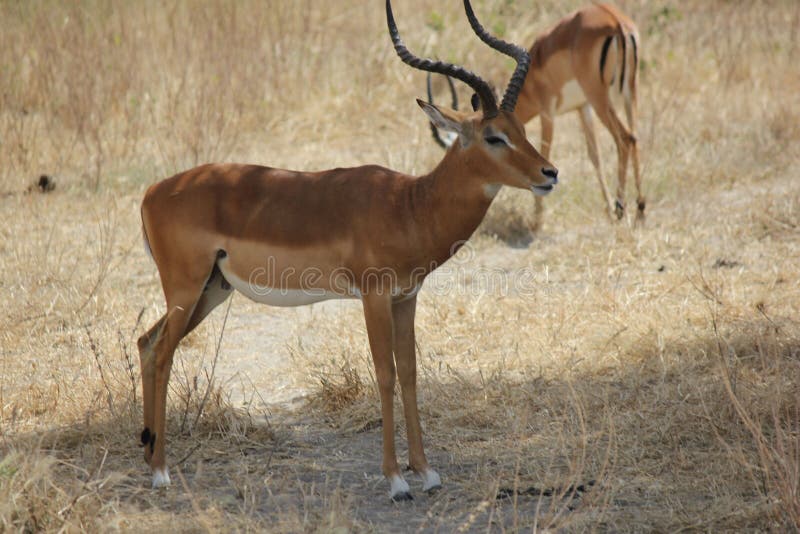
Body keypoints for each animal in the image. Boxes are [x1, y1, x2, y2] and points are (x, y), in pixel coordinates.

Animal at [136, 0, 557, 501]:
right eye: (494, 136)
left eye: (520, 128)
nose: (549, 173)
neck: (408, 204)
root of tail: (152, 192)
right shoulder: (374, 297)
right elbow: (385, 374)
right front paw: (396, 480)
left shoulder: (406, 298)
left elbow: (410, 373)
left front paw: (426, 471)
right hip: (186, 287)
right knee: (163, 353)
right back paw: (161, 472)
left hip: (212, 290)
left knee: (145, 342)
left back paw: (147, 453)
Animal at [428, 2, 643, 230]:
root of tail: (616, 21)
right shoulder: (582, 108)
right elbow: (595, 156)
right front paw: (607, 211)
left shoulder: (548, 110)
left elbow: (546, 149)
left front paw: (537, 219)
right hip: (629, 91)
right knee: (634, 136)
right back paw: (639, 209)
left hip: (599, 96)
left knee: (625, 137)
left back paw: (622, 209)